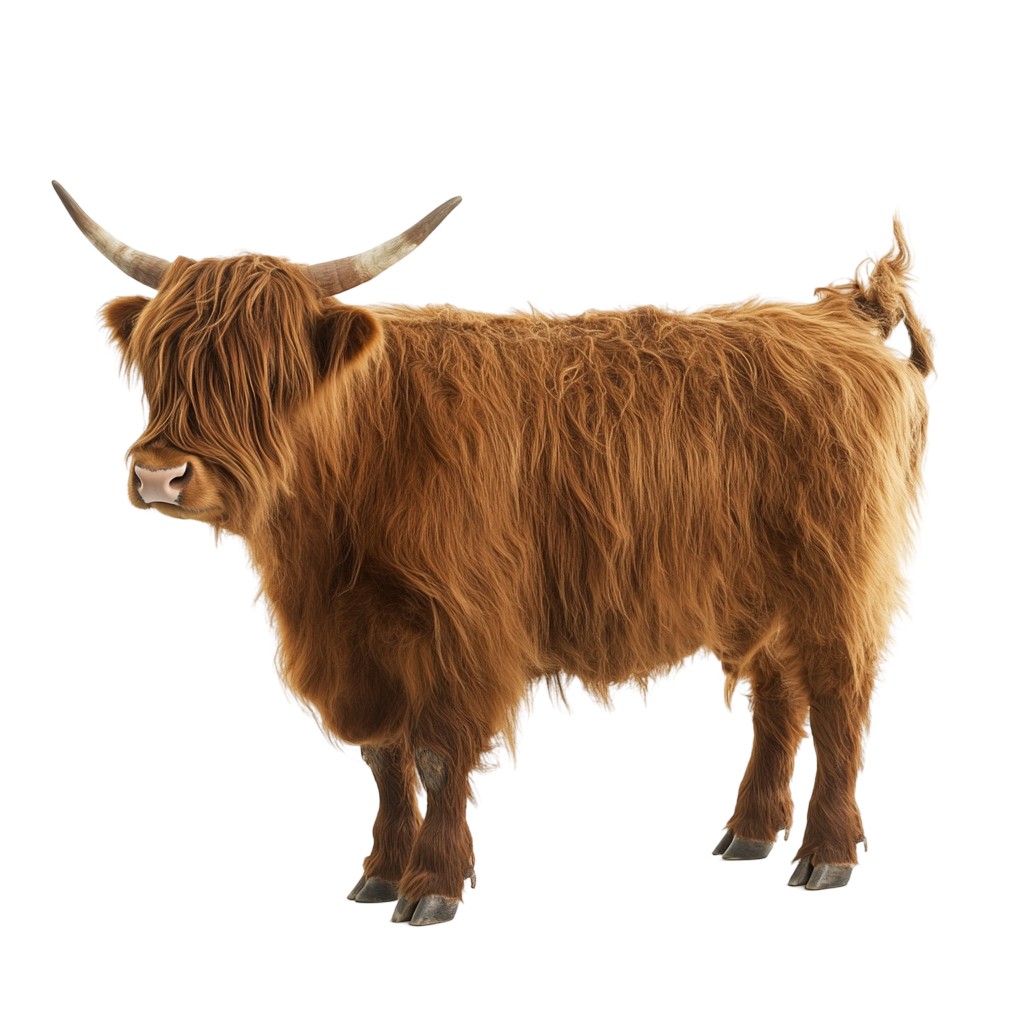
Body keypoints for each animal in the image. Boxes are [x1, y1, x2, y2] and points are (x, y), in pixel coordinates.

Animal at [53, 180, 935, 925]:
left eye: (267, 374)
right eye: (159, 361)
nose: (158, 475)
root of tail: (838, 317)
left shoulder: (462, 632)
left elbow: (441, 756)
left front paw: (431, 887)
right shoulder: (368, 642)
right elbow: (388, 761)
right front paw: (379, 874)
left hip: (840, 586)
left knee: (841, 705)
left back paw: (823, 856)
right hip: (766, 597)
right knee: (781, 701)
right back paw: (749, 832)